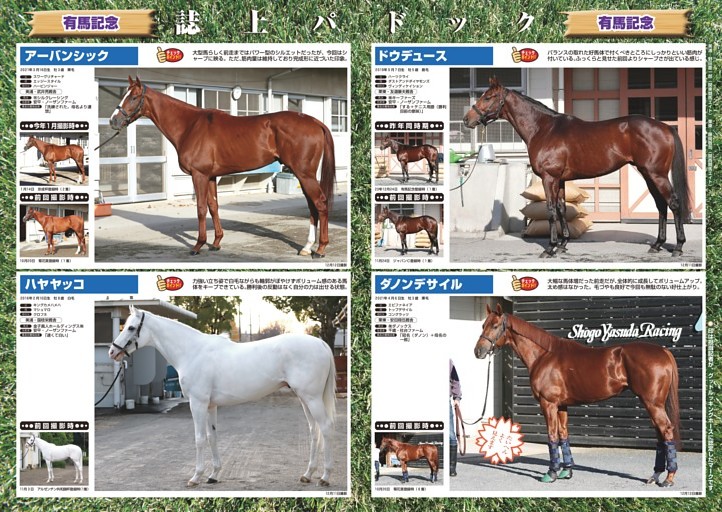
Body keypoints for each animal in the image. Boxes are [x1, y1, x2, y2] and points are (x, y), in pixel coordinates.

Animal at [108, 306, 336, 487]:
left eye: (130, 327)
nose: (112, 352)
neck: (192, 351)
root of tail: (321, 344)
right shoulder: (210, 406)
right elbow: (212, 437)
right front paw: (213, 475)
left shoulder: (197, 403)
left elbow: (200, 438)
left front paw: (196, 477)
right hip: (304, 398)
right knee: (314, 431)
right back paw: (307, 474)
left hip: (312, 398)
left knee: (325, 428)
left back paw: (325, 477)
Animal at [109, 77, 336, 258]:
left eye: (133, 97)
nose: (113, 121)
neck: (190, 126)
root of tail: (315, 121)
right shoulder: (210, 176)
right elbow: (213, 206)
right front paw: (216, 242)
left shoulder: (199, 175)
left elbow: (201, 209)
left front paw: (198, 245)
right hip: (303, 175)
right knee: (312, 207)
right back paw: (306, 247)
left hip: (304, 174)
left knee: (320, 203)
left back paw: (320, 249)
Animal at [463, 77, 690, 258]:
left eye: (488, 97)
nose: (467, 119)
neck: (544, 129)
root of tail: (665, 127)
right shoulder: (561, 180)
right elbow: (562, 209)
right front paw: (563, 244)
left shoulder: (549, 178)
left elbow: (551, 210)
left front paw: (550, 248)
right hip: (648, 175)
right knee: (661, 205)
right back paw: (657, 245)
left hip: (657, 175)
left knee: (673, 203)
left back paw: (678, 247)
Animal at [474, 303, 681, 487]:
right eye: (483, 325)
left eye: (494, 326)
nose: (478, 351)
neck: (544, 355)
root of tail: (663, 351)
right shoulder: (561, 405)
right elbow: (563, 435)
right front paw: (566, 471)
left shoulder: (548, 404)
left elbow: (552, 436)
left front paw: (551, 473)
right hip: (652, 403)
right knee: (660, 434)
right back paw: (655, 476)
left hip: (652, 403)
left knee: (666, 430)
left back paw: (668, 478)